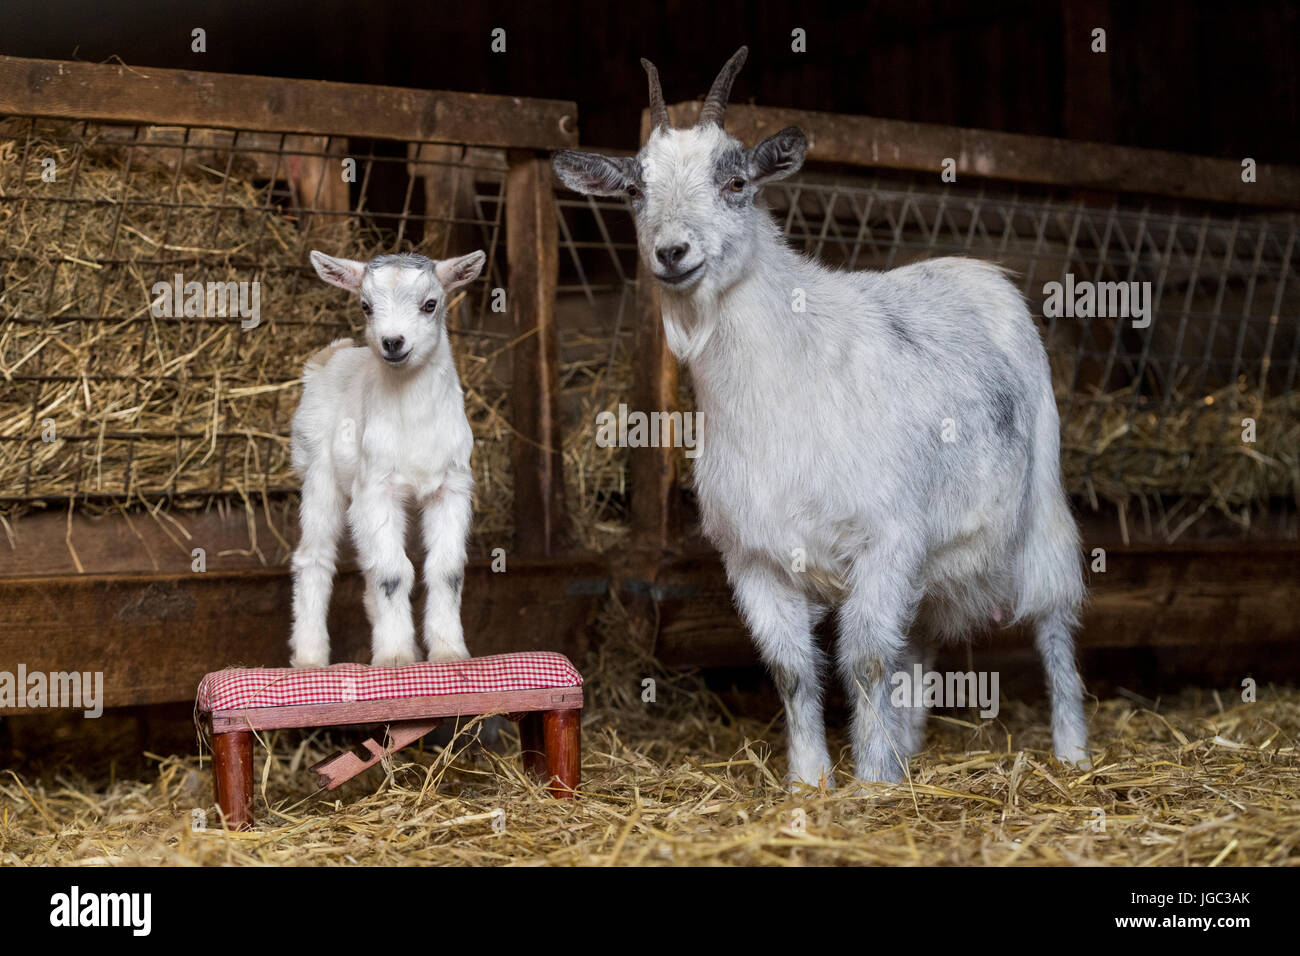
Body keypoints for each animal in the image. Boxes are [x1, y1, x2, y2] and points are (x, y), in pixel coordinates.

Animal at [289, 249, 485, 668]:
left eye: (430, 304)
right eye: (365, 306)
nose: (392, 342)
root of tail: (331, 354)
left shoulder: (451, 486)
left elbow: (445, 570)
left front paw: (448, 652)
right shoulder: (377, 487)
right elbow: (393, 572)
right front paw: (395, 657)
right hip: (317, 471)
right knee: (315, 557)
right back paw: (310, 657)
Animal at [553, 47, 1089, 787]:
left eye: (737, 183)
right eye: (635, 191)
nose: (672, 253)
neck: (783, 384)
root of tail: (979, 272)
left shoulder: (886, 537)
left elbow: (864, 661)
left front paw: (872, 782)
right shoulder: (755, 558)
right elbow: (792, 670)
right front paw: (812, 781)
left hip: (1040, 505)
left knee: (1053, 621)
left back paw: (1072, 752)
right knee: (917, 642)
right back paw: (910, 744)